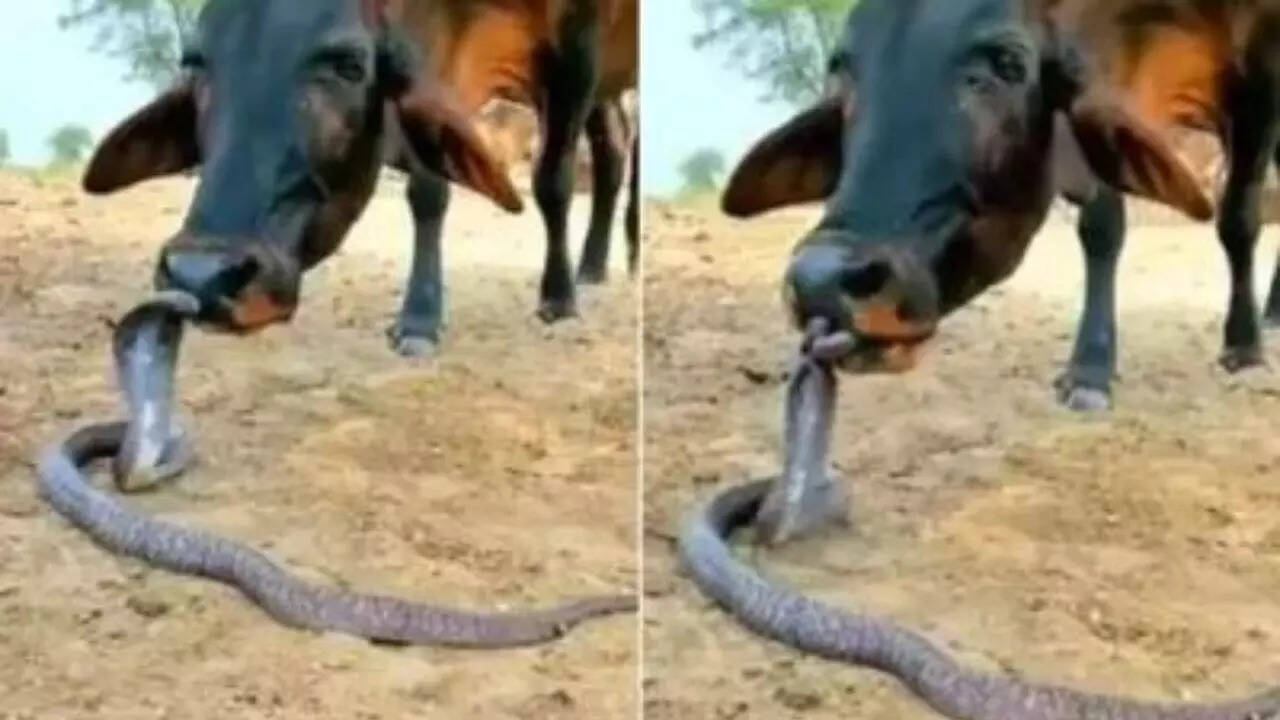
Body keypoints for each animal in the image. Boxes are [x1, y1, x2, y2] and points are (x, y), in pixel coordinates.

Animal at [83, 0, 638, 356]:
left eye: (349, 65)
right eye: (196, 62)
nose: (201, 276)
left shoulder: (578, 50)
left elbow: (553, 180)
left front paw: (558, 300)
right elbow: (428, 189)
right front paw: (420, 317)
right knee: (614, 147)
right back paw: (594, 265)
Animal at [722, 0, 1280, 409]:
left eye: (1008, 64)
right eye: (842, 69)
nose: (822, 281)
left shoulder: (1260, 73)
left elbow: (1238, 220)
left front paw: (1244, 346)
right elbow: (1102, 227)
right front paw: (1090, 368)